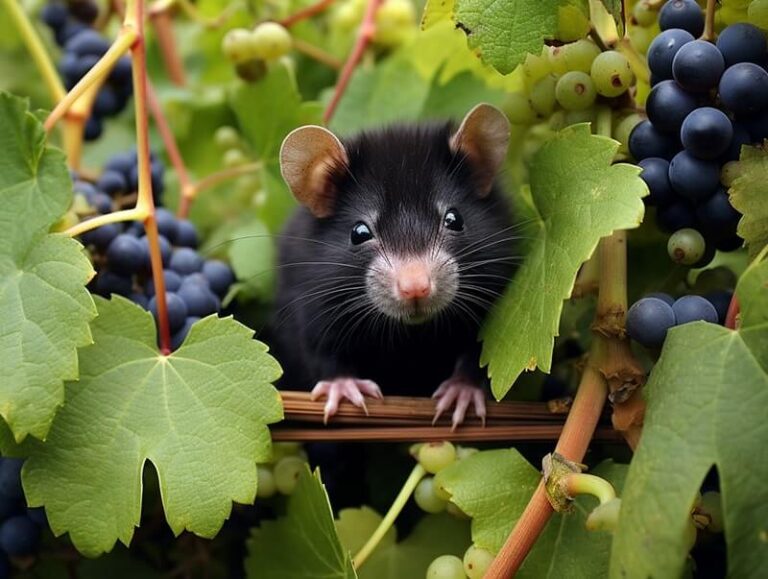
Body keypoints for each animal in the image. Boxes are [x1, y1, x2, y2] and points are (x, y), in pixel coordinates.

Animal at [268, 104, 518, 428]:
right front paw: (343, 387)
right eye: (359, 232)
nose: (416, 288)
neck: (410, 334)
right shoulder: (310, 304)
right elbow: (319, 350)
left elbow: (478, 354)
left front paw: (461, 392)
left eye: (454, 219)